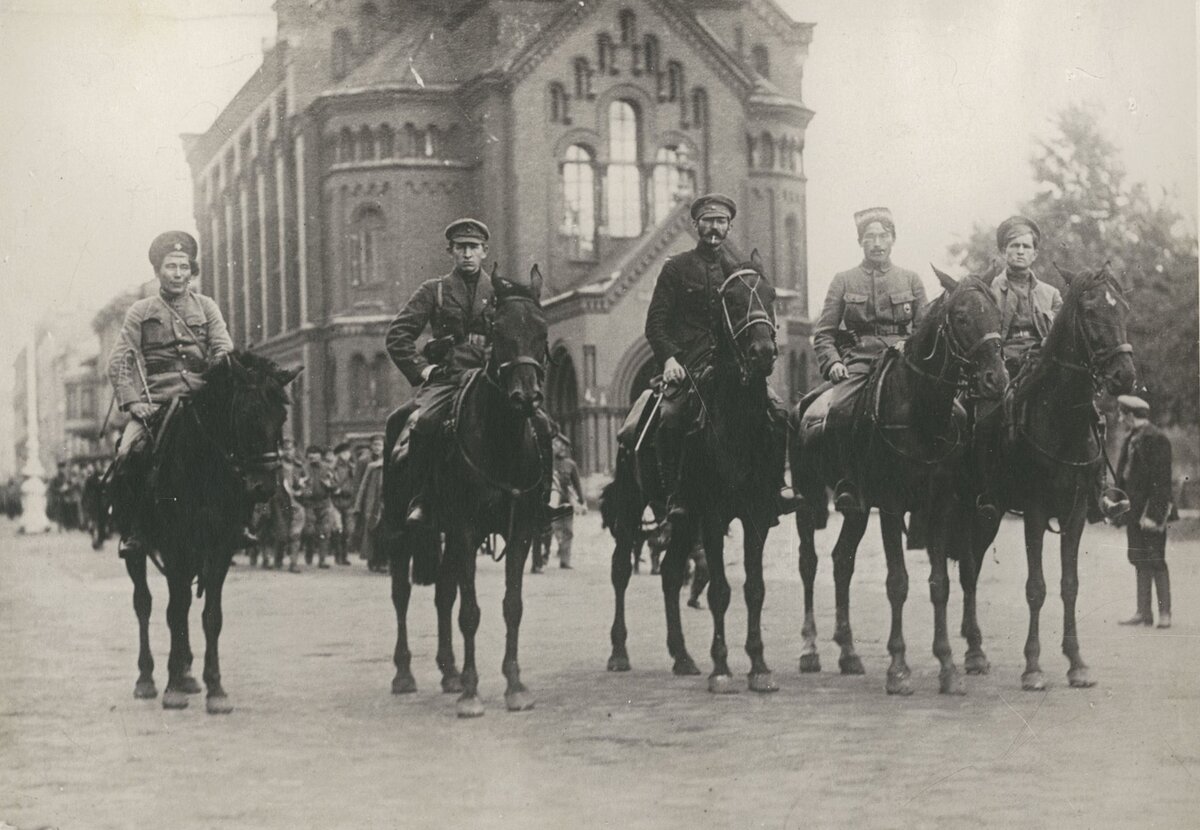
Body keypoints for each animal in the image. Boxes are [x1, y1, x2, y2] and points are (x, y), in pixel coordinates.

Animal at [112, 352, 300, 714]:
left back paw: (186, 674)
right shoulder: (176, 545)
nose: (265, 488)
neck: (203, 462)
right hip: (138, 552)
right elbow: (173, 612)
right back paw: (147, 678)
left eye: (283, 415)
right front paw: (172, 688)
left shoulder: (219, 547)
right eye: (248, 414)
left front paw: (215, 689)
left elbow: (210, 616)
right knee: (144, 604)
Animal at [386, 268, 549, 714]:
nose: (526, 397)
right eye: (498, 331)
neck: (502, 440)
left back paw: (450, 672)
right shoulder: (464, 527)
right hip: (400, 530)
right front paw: (473, 694)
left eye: (542, 330)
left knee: (443, 592)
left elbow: (512, 606)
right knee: (402, 594)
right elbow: (471, 612)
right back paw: (404, 674)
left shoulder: (520, 530)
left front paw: (514, 686)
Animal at [792, 271, 1008, 695]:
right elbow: (898, 582)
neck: (922, 412)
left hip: (857, 510)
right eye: (961, 317)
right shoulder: (892, 505)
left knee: (842, 561)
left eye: (995, 311)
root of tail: (805, 403)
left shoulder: (941, 506)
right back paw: (810, 650)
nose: (996, 378)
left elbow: (940, 583)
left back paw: (849, 653)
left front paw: (948, 668)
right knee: (809, 563)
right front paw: (898, 669)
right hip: (807, 499)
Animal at [936, 263, 1132, 686]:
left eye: (1123, 309)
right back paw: (973, 652)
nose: (1124, 374)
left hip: (988, 516)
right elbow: (1036, 587)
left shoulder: (1076, 513)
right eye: (1090, 311)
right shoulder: (1036, 512)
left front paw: (1077, 663)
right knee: (968, 571)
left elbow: (1069, 585)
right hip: (965, 509)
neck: (1059, 417)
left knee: (973, 567)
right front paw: (1033, 667)